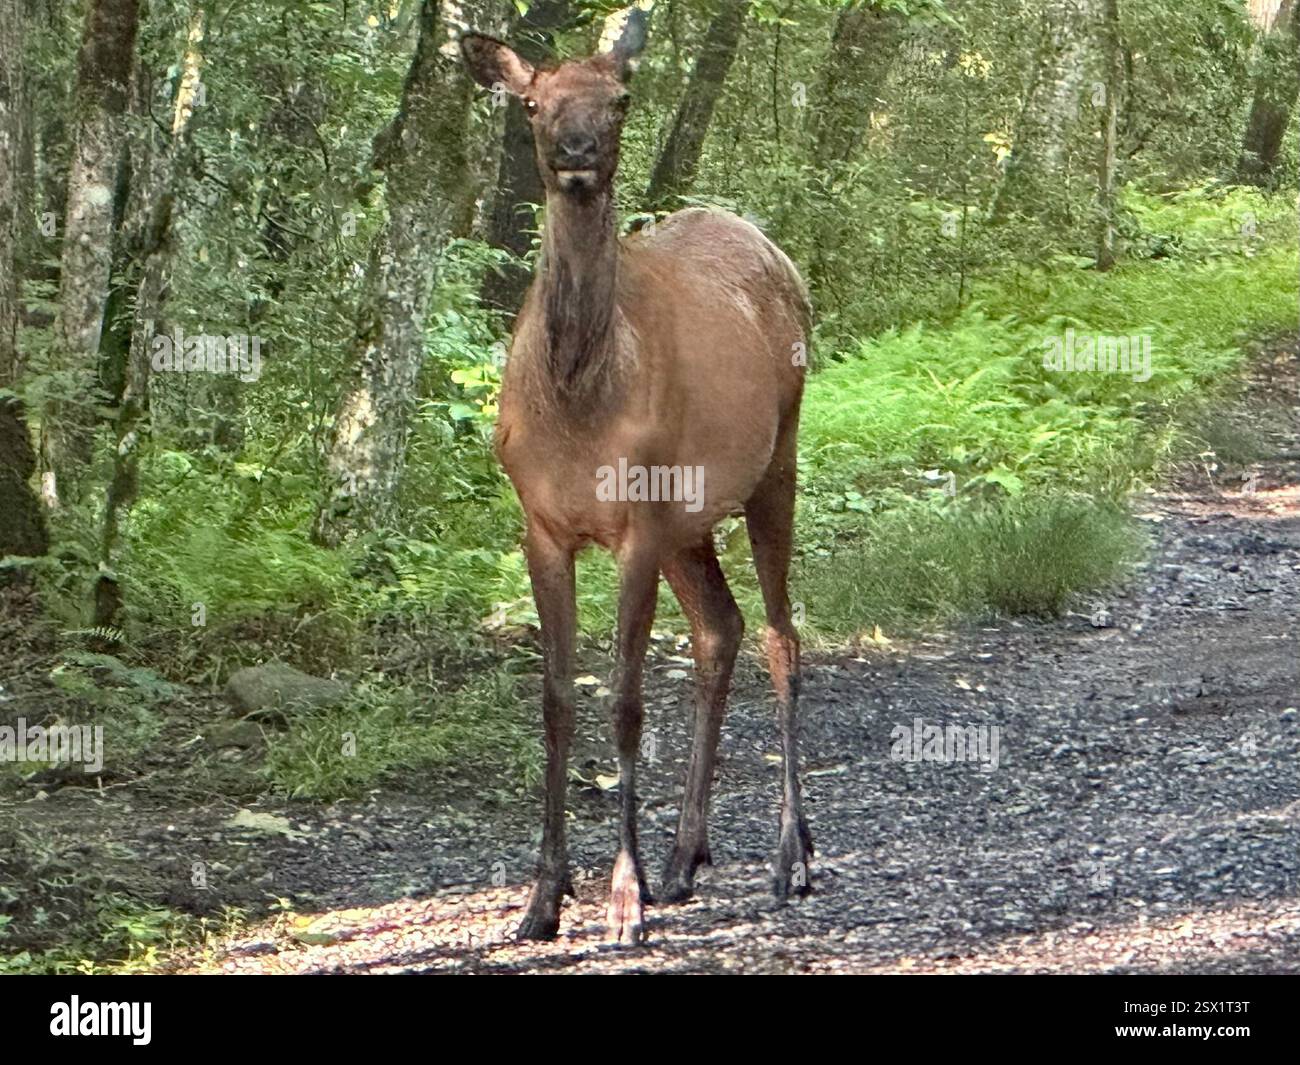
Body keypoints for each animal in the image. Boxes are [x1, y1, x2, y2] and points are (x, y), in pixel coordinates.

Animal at [460, 10, 812, 946]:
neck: (580, 403)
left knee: (780, 634)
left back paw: (791, 855)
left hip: (777, 459)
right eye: (533, 101)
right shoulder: (541, 524)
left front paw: (625, 897)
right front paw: (543, 898)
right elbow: (555, 699)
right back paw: (689, 854)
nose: (577, 150)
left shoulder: (637, 524)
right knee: (722, 628)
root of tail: (769, 243)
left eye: (620, 96)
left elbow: (623, 699)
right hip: (693, 517)